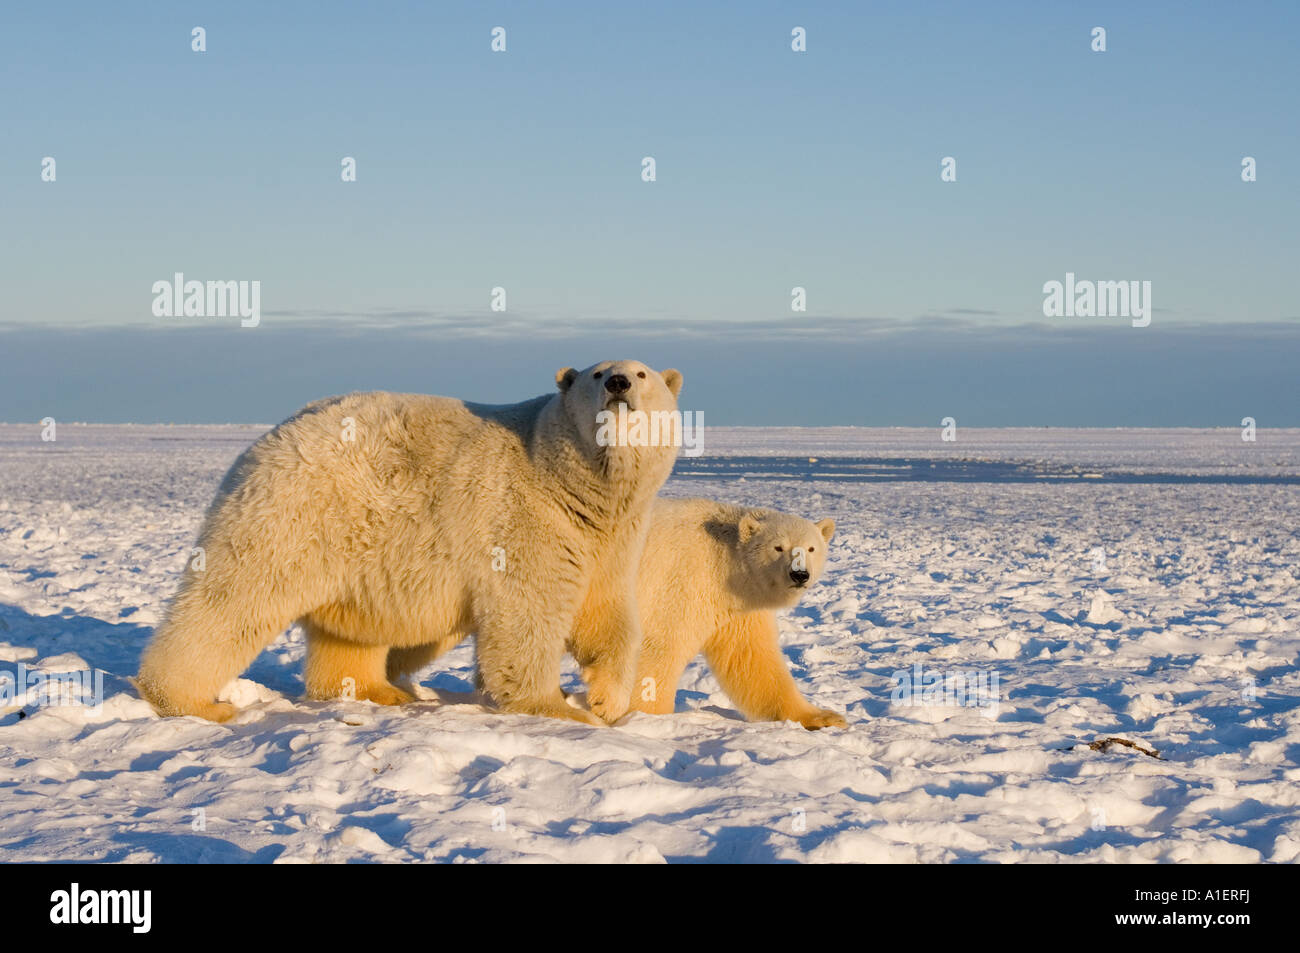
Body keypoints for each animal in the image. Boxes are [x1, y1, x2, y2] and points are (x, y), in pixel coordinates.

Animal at [135, 360, 684, 725]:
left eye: (642, 375)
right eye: (596, 373)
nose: (617, 384)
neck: (572, 483)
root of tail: (272, 435)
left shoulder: (609, 539)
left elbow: (607, 613)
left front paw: (606, 700)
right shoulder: (525, 519)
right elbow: (528, 613)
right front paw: (560, 708)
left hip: (359, 546)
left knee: (354, 632)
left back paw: (381, 690)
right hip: (294, 513)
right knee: (232, 600)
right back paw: (192, 700)